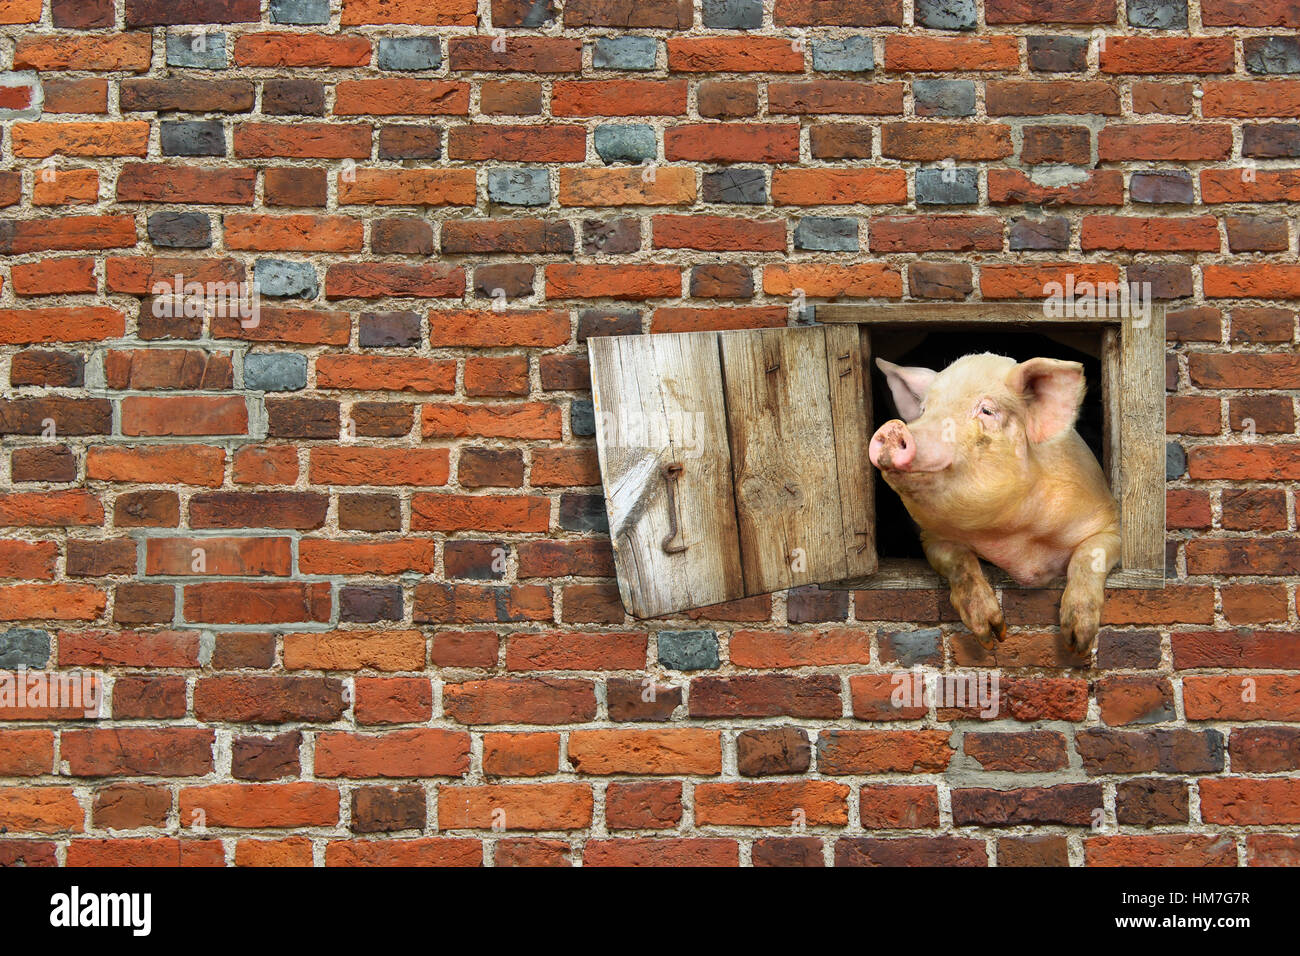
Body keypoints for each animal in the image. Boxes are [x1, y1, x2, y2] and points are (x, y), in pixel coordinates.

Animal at [868, 353, 1119, 652]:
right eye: (924, 410)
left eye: (987, 411)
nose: (893, 428)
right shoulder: (932, 538)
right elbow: (958, 561)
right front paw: (992, 635)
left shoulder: (1108, 521)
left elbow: (1090, 555)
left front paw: (1077, 642)